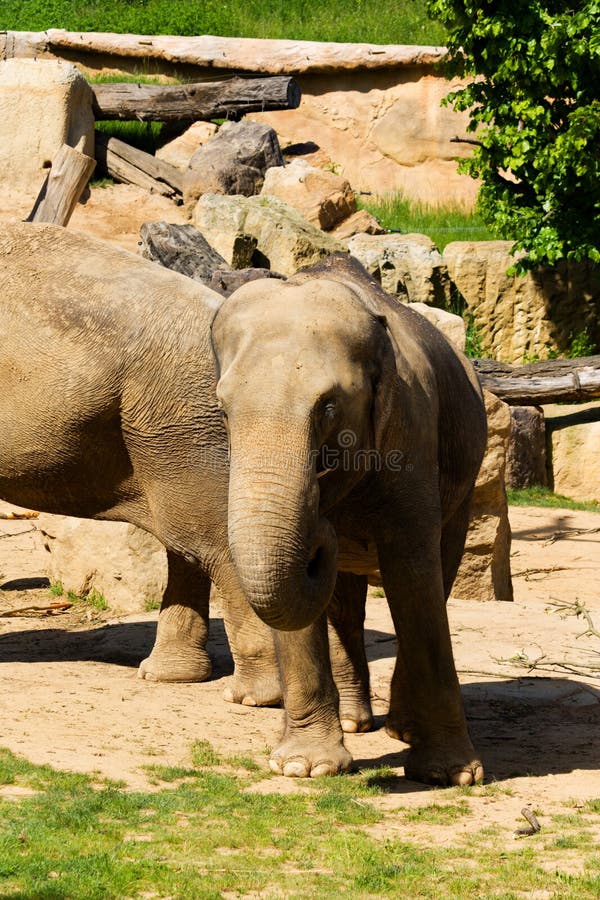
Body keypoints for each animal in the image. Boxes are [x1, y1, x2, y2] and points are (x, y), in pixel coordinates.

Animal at [211, 253, 487, 785]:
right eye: (224, 409)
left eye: (329, 407)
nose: (321, 524)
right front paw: (305, 767)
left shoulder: (413, 431)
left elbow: (413, 577)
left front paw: (450, 775)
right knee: (341, 601)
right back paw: (353, 723)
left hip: (465, 480)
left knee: (439, 570)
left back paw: (401, 729)